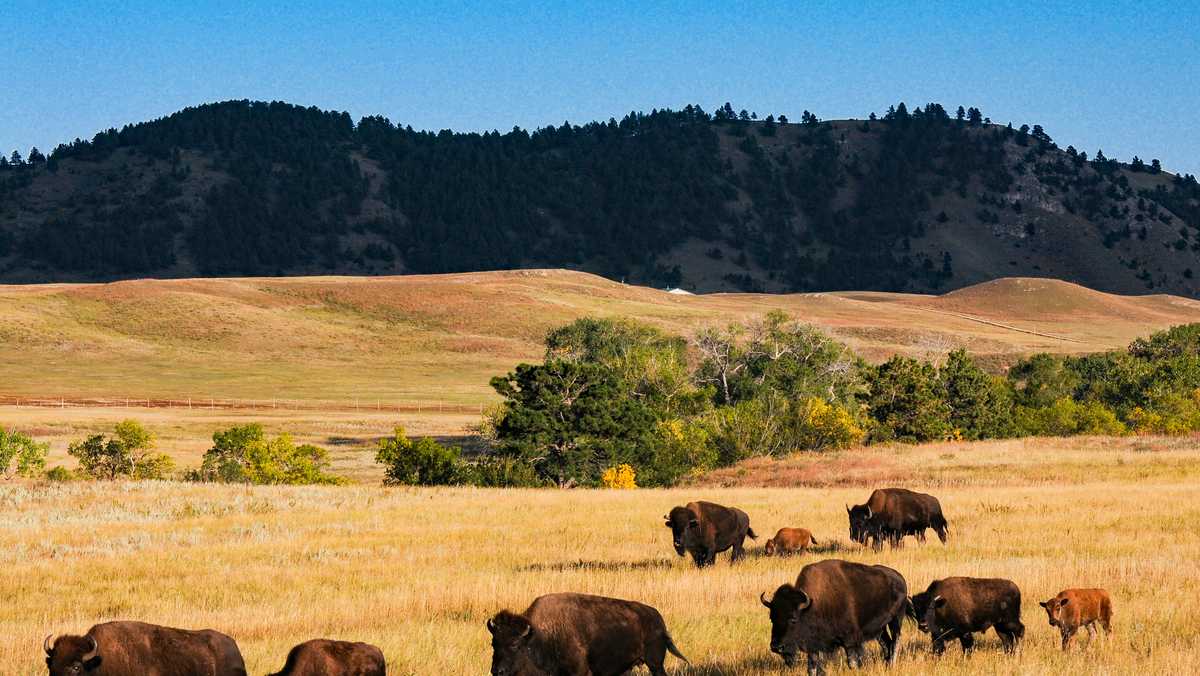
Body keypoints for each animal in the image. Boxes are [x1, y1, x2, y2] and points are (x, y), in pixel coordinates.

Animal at [487, 592, 687, 676]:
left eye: (515, 644)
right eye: (493, 643)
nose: (497, 671)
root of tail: (658, 620)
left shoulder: (580, 671)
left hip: (655, 664)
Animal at [760, 559, 908, 676]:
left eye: (793, 619)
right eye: (772, 618)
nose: (776, 647)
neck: (812, 605)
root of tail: (900, 578)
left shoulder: (850, 641)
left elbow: (852, 663)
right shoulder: (813, 645)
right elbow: (812, 667)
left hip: (896, 619)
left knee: (895, 642)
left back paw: (892, 665)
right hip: (880, 630)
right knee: (886, 644)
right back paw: (887, 665)